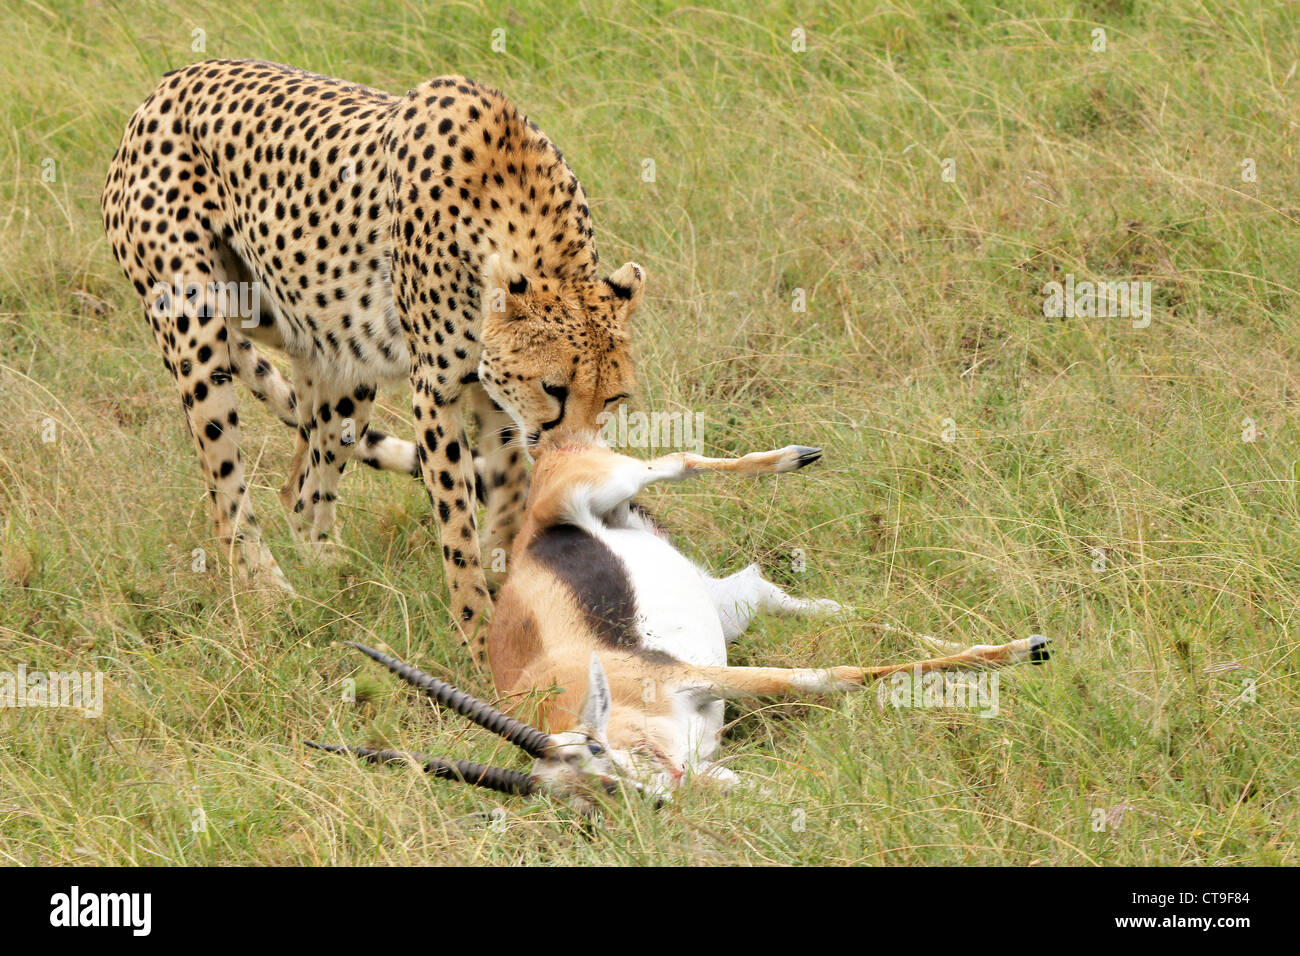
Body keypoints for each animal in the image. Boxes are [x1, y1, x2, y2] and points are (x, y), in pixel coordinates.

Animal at [101, 59, 646, 660]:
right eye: (555, 389)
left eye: (614, 398)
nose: (578, 456)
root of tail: (168, 83)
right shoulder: (437, 392)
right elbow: (457, 527)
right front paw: (479, 636)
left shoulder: (493, 394)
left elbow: (509, 494)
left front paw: (509, 583)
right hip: (196, 329)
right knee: (228, 498)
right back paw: (272, 594)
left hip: (337, 355)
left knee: (302, 488)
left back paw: (334, 574)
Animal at [309, 432, 1051, 808]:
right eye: (577, 802)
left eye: (594, 751)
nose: (654, 799)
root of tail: (531, 540)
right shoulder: (705, 765)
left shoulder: (692, 678)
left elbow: (821, 678)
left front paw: (1020, 652)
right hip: (725, 605)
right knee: (789, 595)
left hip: (607, 484)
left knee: (672, 461)